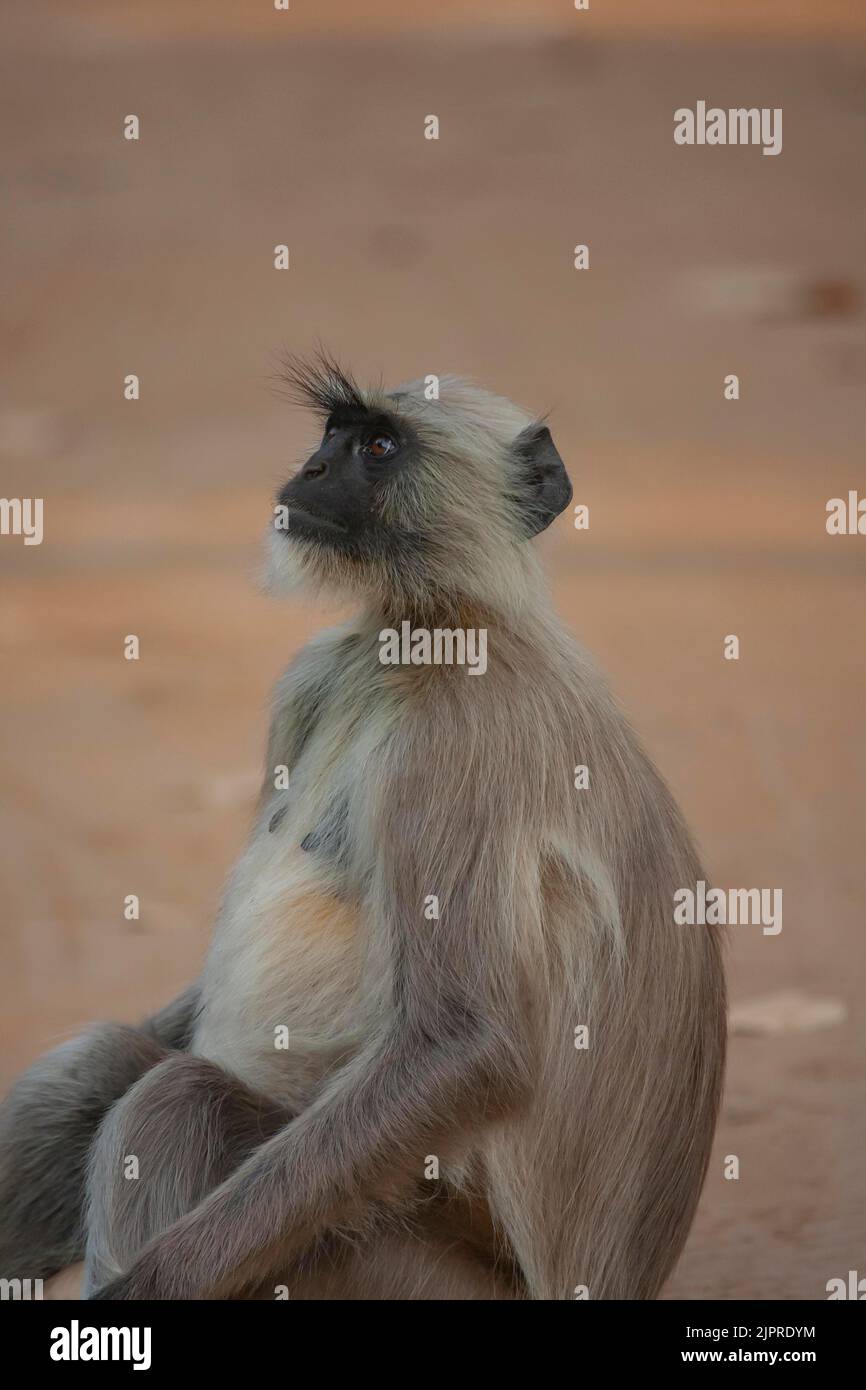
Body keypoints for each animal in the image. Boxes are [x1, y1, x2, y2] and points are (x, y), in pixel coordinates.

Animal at [0, 354, 725, 1300]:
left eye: (378, 448)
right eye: (332, 437)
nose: (309, 471)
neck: (432, 636)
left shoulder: (458, 740)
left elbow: (469, 1048)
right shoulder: (313, 678)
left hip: (400, 1269)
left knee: (179, 1099)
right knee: (118, 1061)